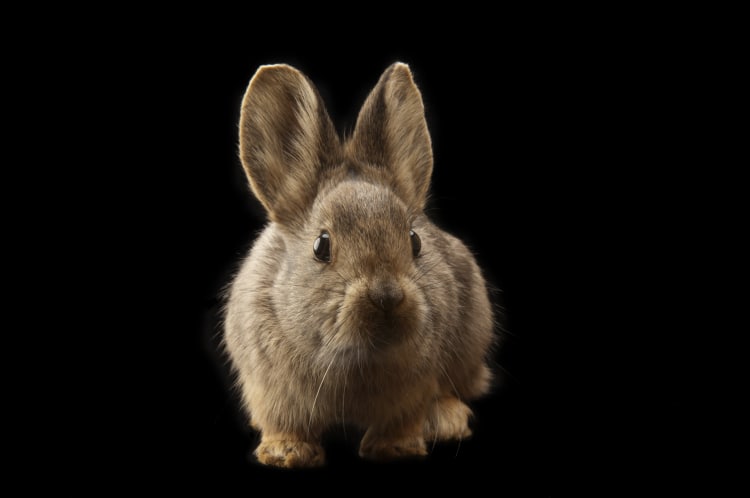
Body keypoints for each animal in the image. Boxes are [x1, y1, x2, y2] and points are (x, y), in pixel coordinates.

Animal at [223, 62, 498, 468]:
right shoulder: (269, 386)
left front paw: (396, 448)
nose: (387, 296)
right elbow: (283, 420)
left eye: (414, 242)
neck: (355, 358)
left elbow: (402, 417)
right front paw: (286, 451)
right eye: (322, 246)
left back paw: (447, 421)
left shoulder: (414, 388)